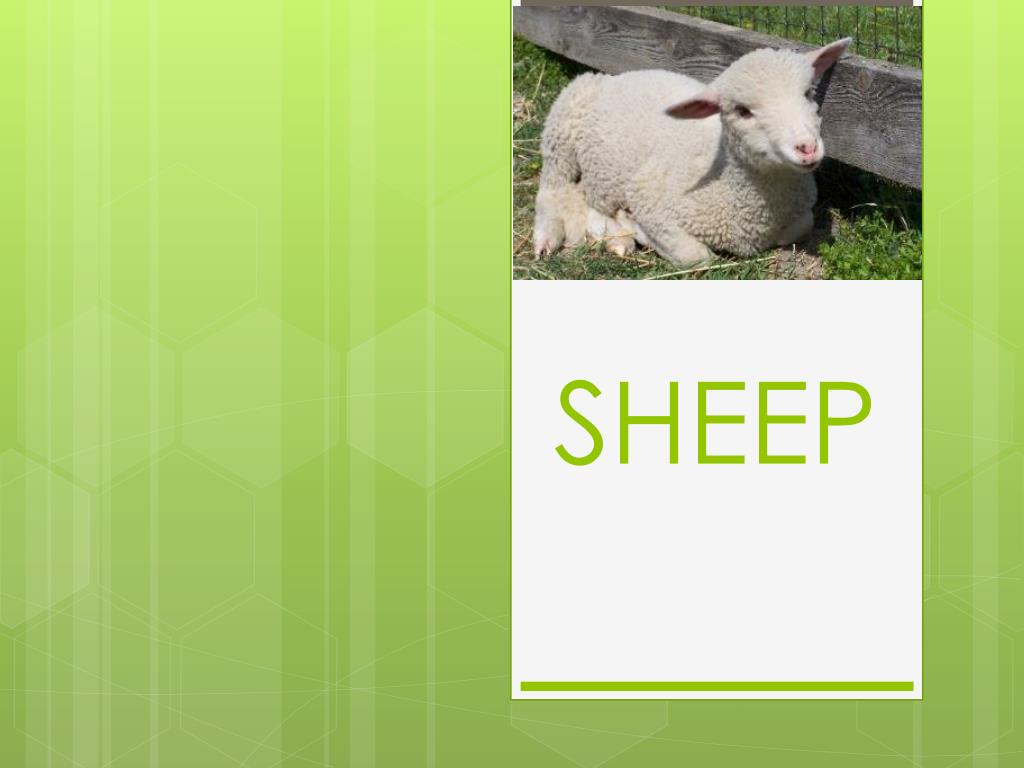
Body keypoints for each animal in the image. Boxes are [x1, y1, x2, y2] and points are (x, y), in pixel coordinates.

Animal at [532, 38, 852, 267]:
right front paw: (637, 228)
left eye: (808, 94)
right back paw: (553, 237)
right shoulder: (648, 195)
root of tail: (619, 76)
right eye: (742, 111)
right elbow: (695, 256)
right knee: (552, 187)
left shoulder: (802, 211)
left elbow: (800, 227)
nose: (807, 148)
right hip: (564, 121)